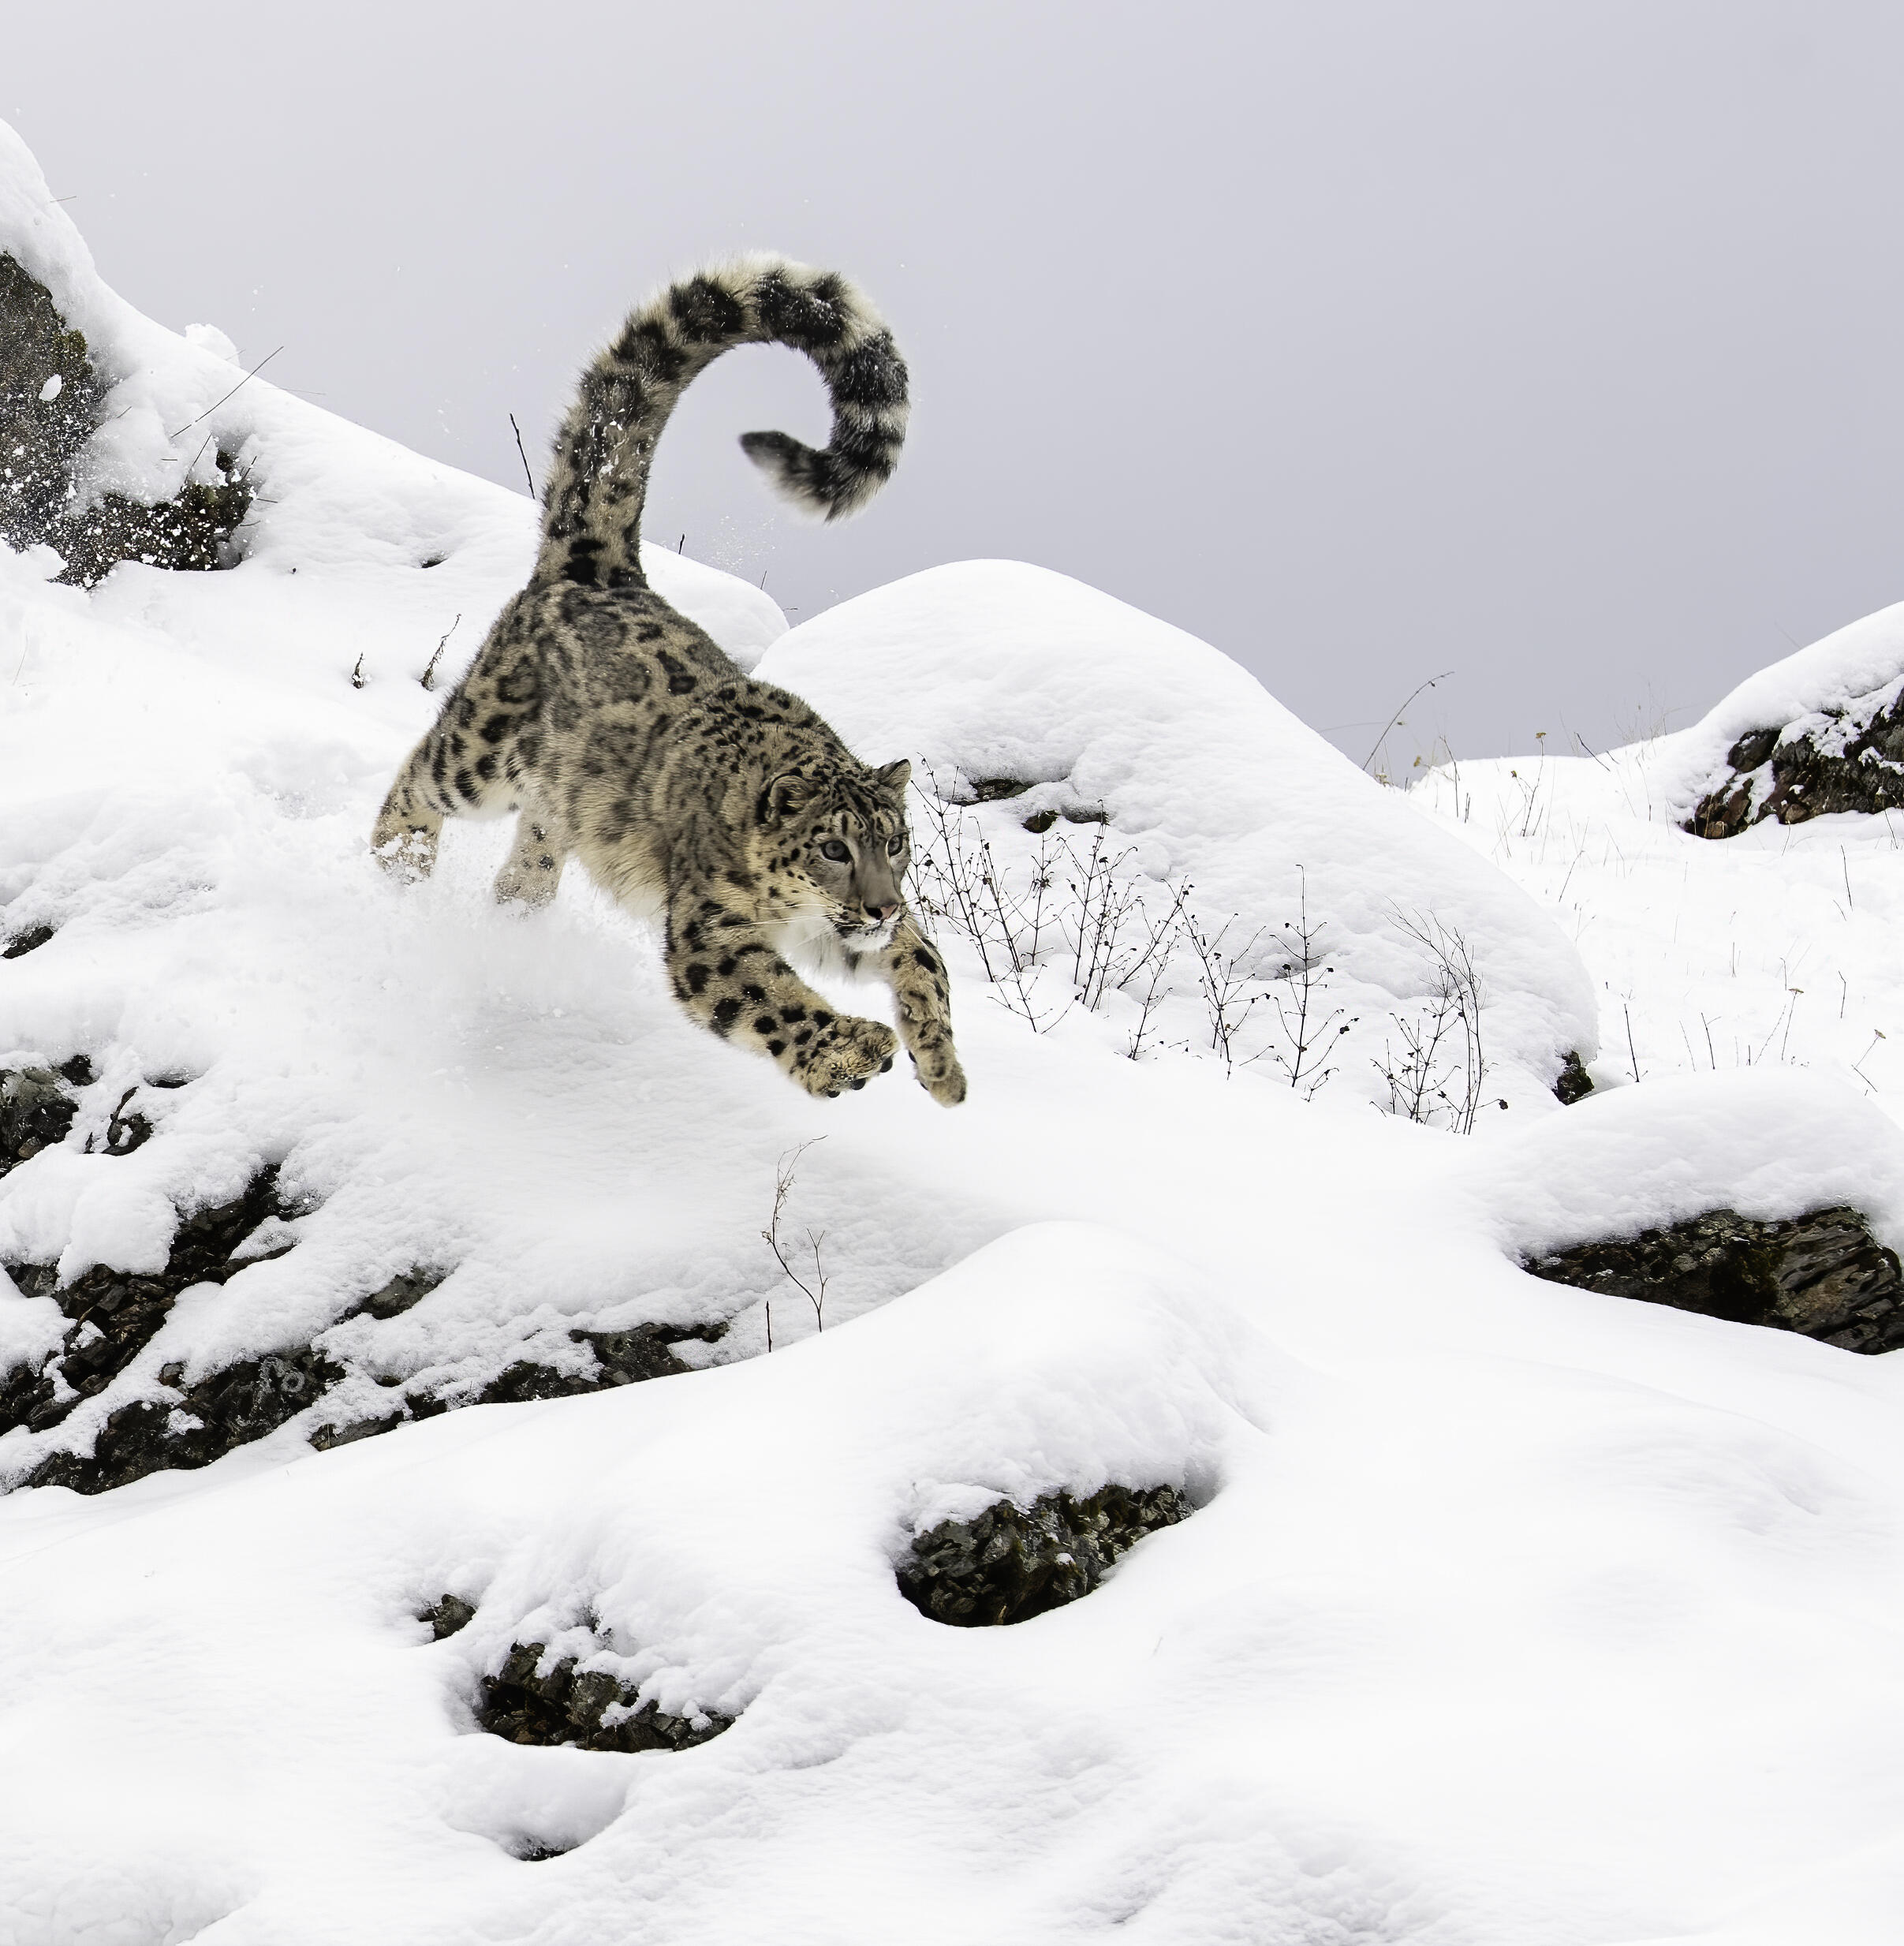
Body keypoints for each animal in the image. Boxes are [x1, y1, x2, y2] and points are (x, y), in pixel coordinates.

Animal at [370, 254, 964, 1105]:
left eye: (896, 841)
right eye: (831, 846)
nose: (878, 904)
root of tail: (602, 570)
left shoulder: (850, 930)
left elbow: (925, 958)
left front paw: (942, 1065)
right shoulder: (711, 927)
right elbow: (770, 998)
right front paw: (850, 1052)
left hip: (554, 815)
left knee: (524, 870)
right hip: (483, 750)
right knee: (420, 776)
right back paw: (398, 869)